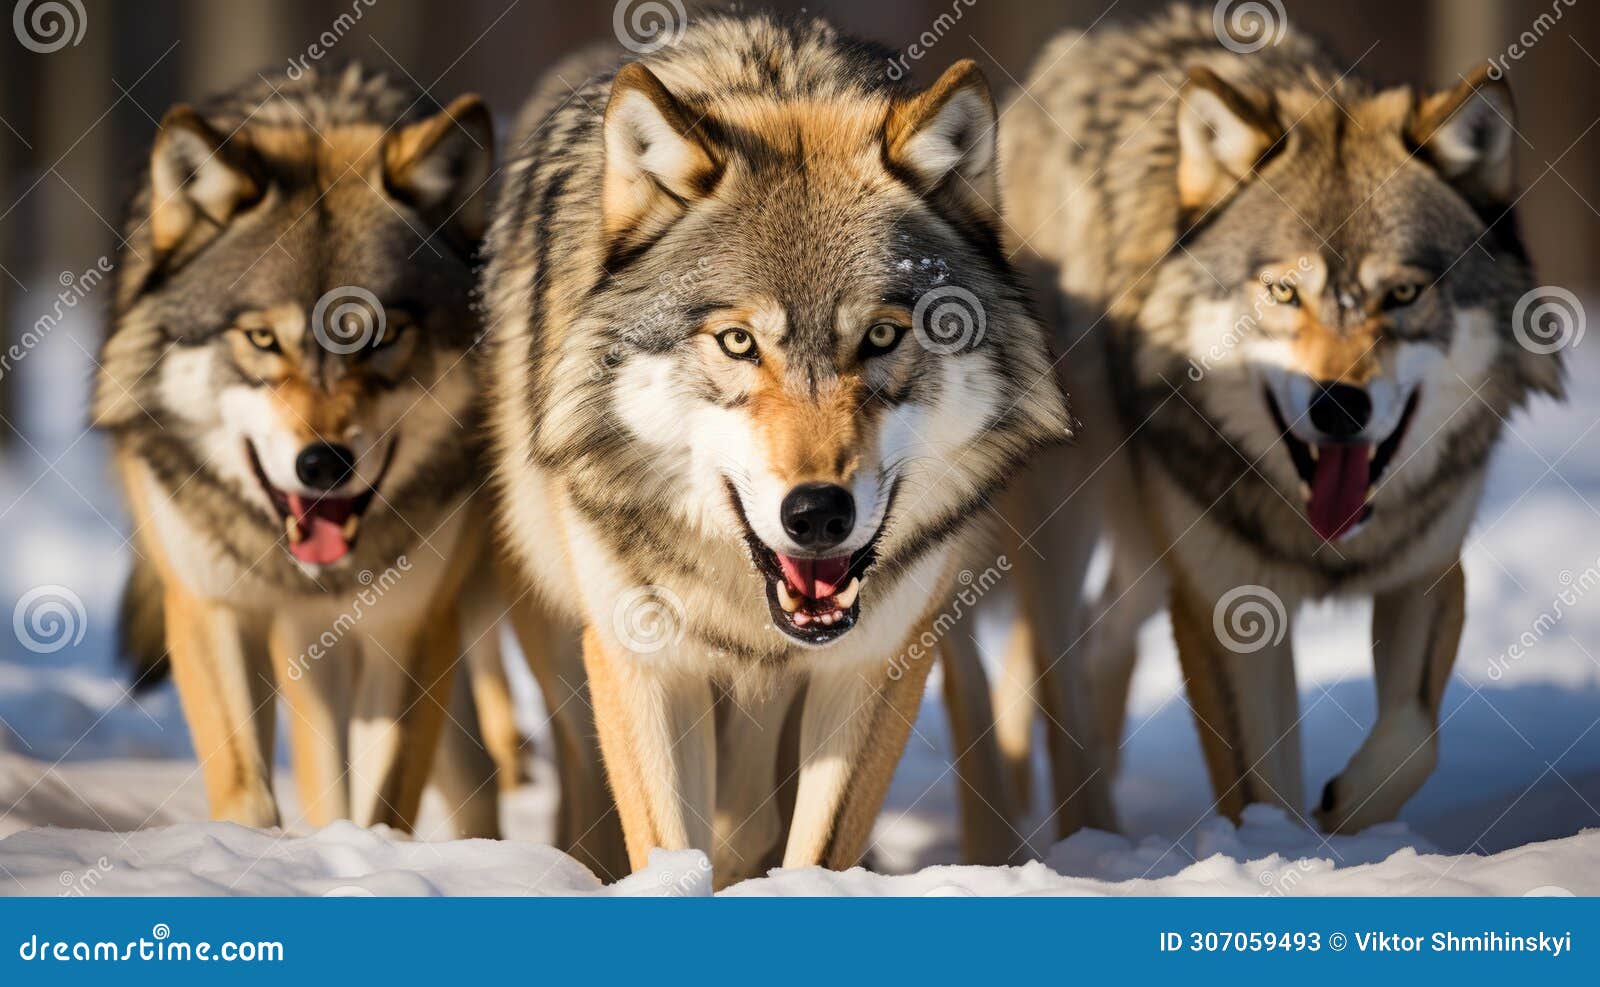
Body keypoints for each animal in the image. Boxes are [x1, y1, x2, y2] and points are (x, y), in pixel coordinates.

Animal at [94, 64, 506, 836]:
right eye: (262, 339)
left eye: (382, 335)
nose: (323, 465)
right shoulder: (212, 607)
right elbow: (249, 792)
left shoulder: (409, 625)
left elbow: (384, 804)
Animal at [482, 13, 1068, 882]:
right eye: (738, 342)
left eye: (883, 336)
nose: (818, 513)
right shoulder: (644, 660)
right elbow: (672, 847)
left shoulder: (872, 665)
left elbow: (814, 852)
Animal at [997, 6, 1563, 836]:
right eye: (1284, 293)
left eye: (1401, 294)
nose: (1338, 406)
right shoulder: (1225, 602)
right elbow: (1262, 785)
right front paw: (1281, 849)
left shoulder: (1427, 570)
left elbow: (1414, 738)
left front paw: (1344, 815)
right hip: (1070, 519)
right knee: (1055, 674)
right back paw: (1084, 834)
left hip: (1149, 558)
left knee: (1100, 639)